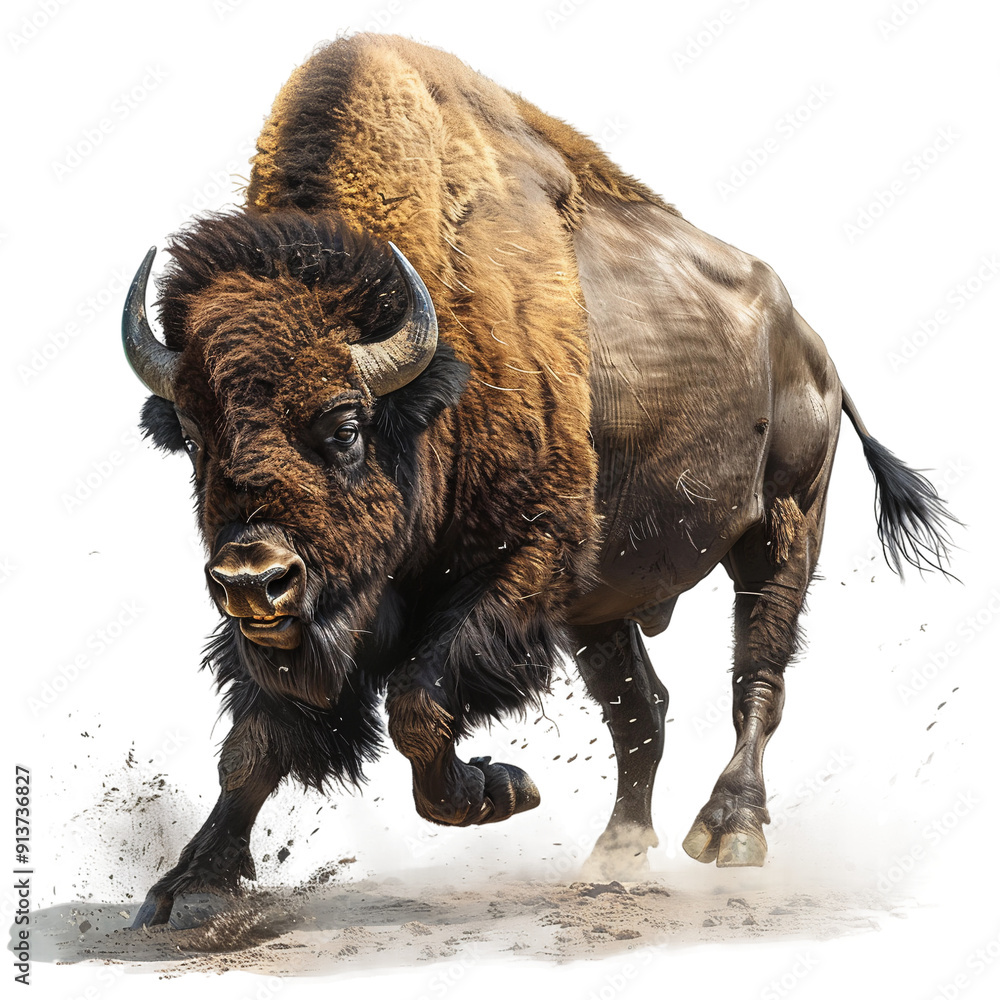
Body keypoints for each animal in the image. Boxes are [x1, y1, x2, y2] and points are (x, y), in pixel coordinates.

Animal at [124, 34, 955, 927]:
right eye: (194, 437)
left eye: (345, 425)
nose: (253, 578)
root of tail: (811, 344)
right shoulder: (317, 618)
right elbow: (255, 740)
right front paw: (188, 888)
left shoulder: (526, 556)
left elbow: (418, 706)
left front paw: (502, 789)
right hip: (604, 605)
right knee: (642, 707)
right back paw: (614, 853)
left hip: (783, 529)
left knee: (755, 676)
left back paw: (729, 833)